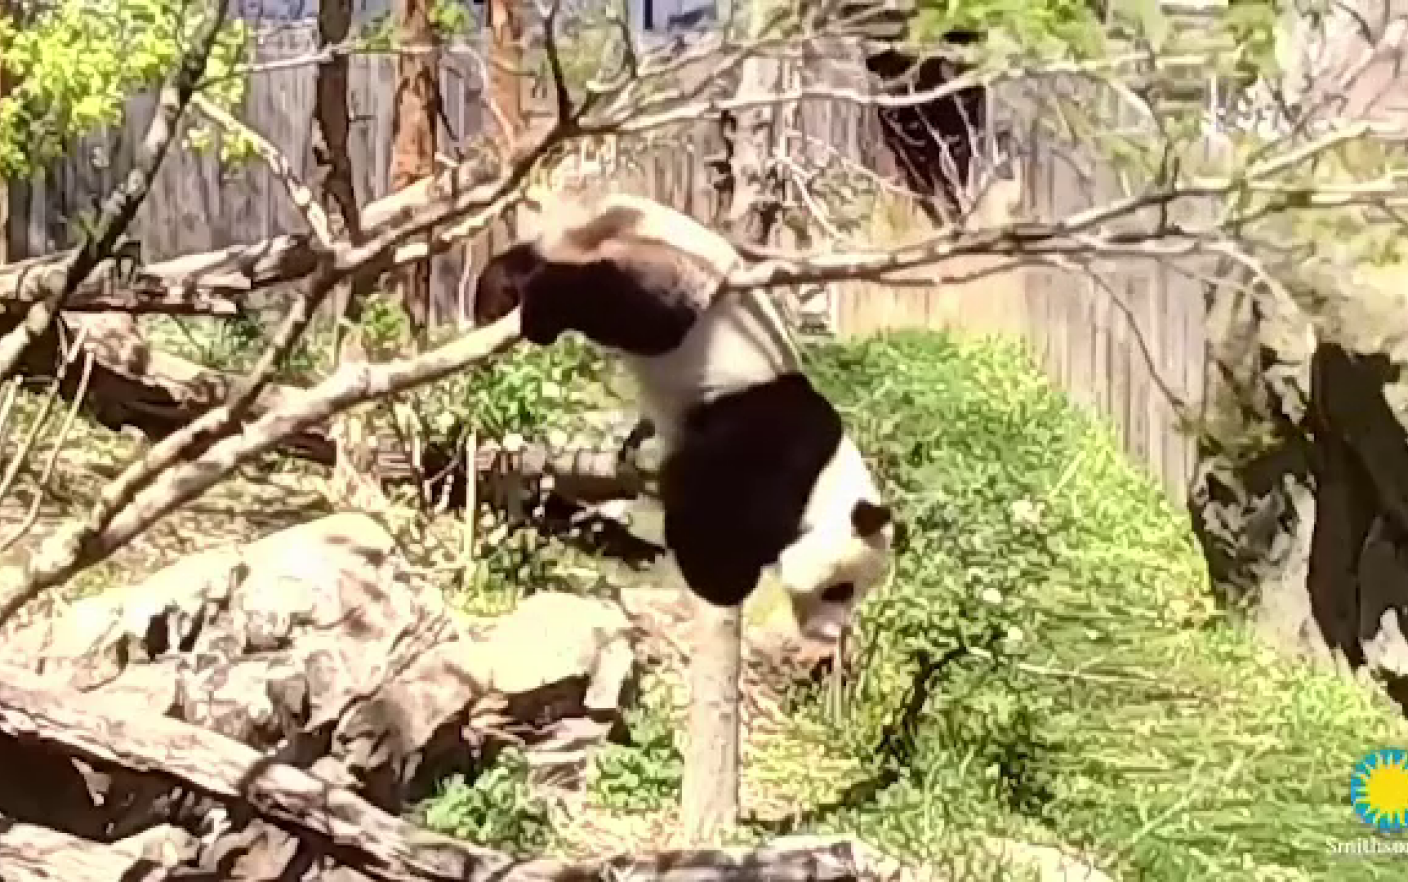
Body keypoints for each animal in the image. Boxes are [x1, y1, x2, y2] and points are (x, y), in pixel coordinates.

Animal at [472, 191, 894, 645]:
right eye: (841, 589)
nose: (831, 635)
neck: (827, 480)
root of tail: (621, 209)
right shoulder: (772, 446)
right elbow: (710, 505)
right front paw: (722, 578)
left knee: (539, 259)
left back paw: (496, 296)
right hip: (674, 274)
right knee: (630, 306)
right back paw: (536, 308)